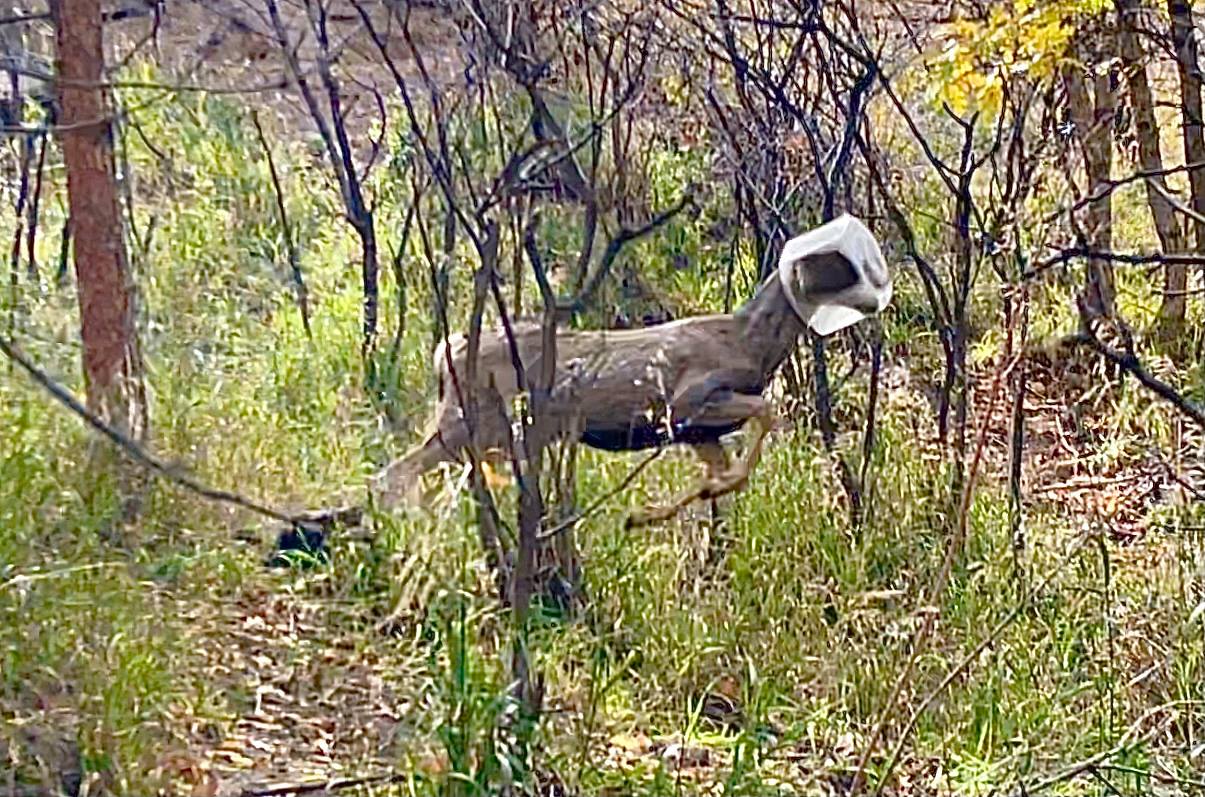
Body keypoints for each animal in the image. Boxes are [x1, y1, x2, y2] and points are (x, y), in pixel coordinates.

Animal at [320, 214, 892, 529]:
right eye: (840, 263)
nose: (876, 299)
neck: (746, 342)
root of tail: (445, 350)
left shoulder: (697, 432)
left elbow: (727, 471)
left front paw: (656, 512)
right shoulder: (687, 401)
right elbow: (768, 413)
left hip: (480, 428)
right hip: (471, 420)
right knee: (396, 473)